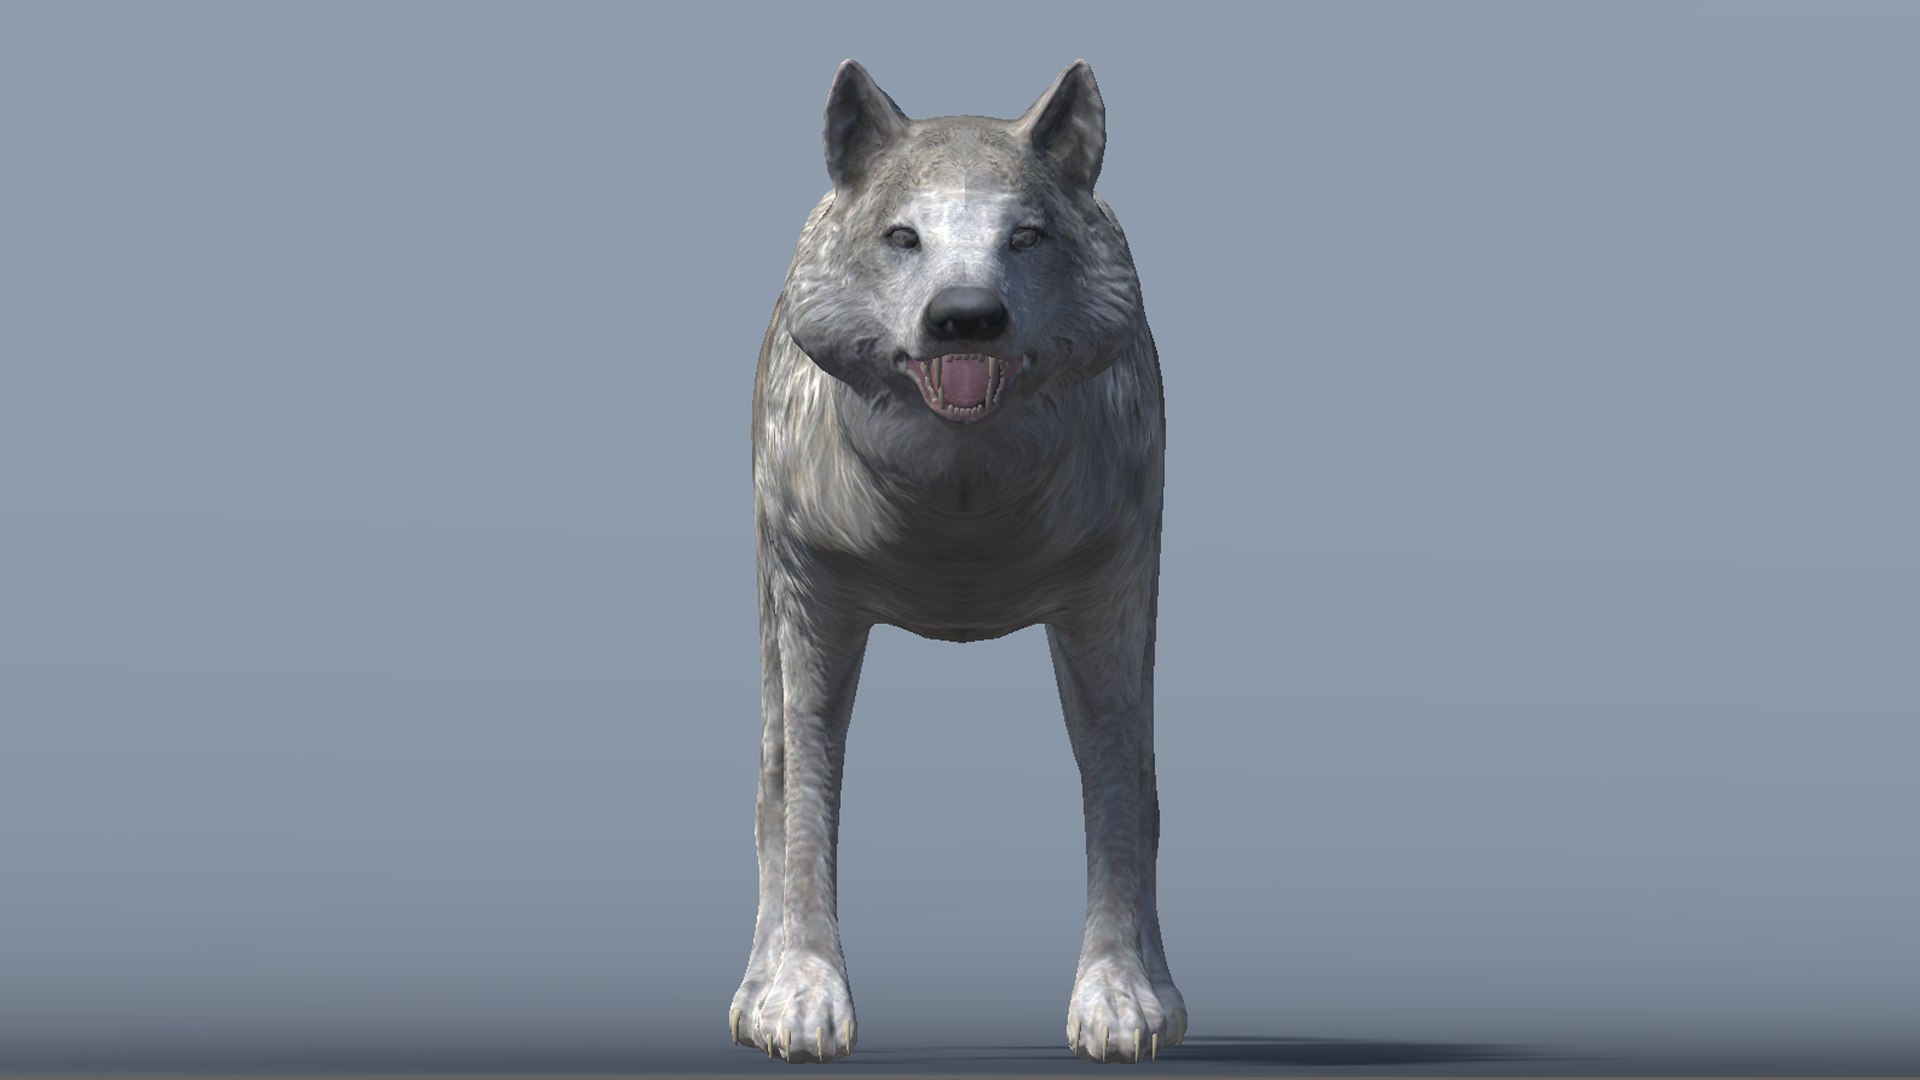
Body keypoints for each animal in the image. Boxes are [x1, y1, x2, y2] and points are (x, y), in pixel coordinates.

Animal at [731, 59, 1181, 1065]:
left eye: (1027, 236)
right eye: (904, 237)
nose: (966, 318)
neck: (960, 506)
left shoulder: (1114, 595)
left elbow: (1124, 788)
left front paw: (1123, 999)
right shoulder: (811, 603)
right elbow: (801, 791)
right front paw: (802, 999)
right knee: (770, 778)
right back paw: (754, 988)